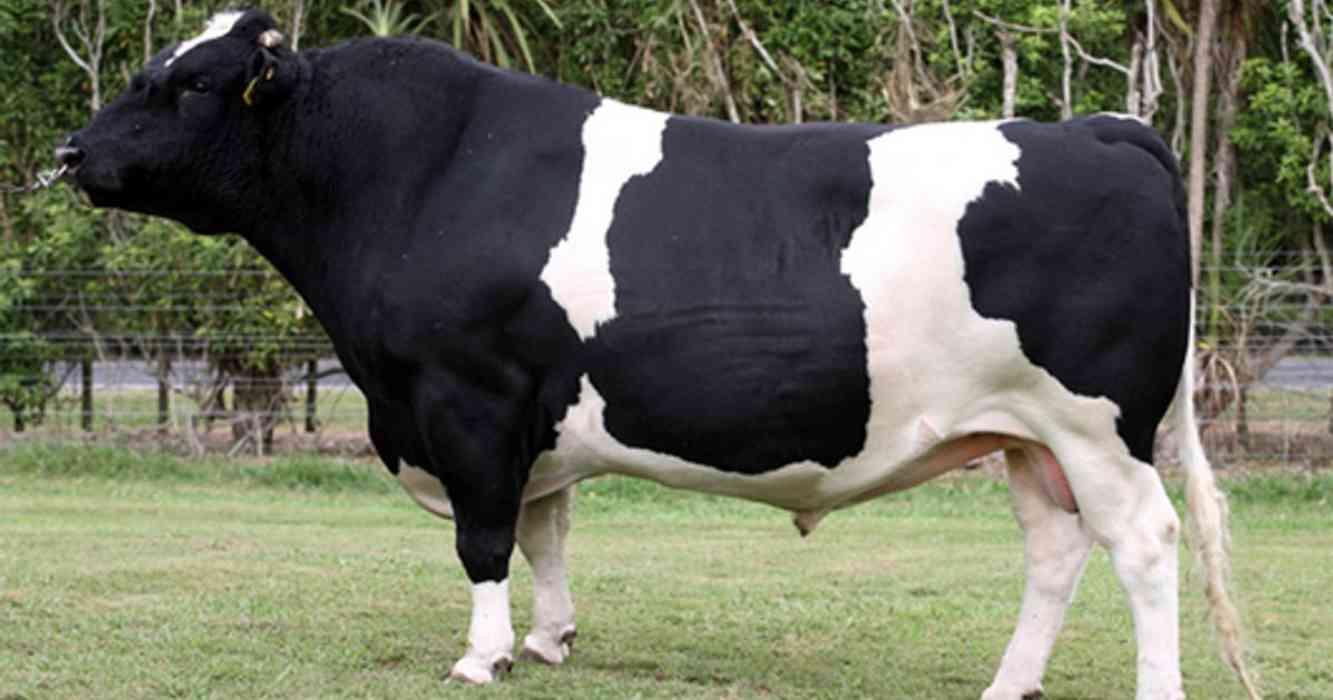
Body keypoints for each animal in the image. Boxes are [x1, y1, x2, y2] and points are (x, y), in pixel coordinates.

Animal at [57, 10, 1258, 699]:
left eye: (190, 83)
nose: (71, 151)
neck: (401, 173)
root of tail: (1099, 126)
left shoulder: (467, 399)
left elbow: (485, 538)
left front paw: (481, 654)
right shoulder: (531, 412)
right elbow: (546, 528)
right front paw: (550, 640)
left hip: (1097, 428)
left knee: (1143, 546)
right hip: (1023, 437)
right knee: (1056, 552)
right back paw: (1006, 687)